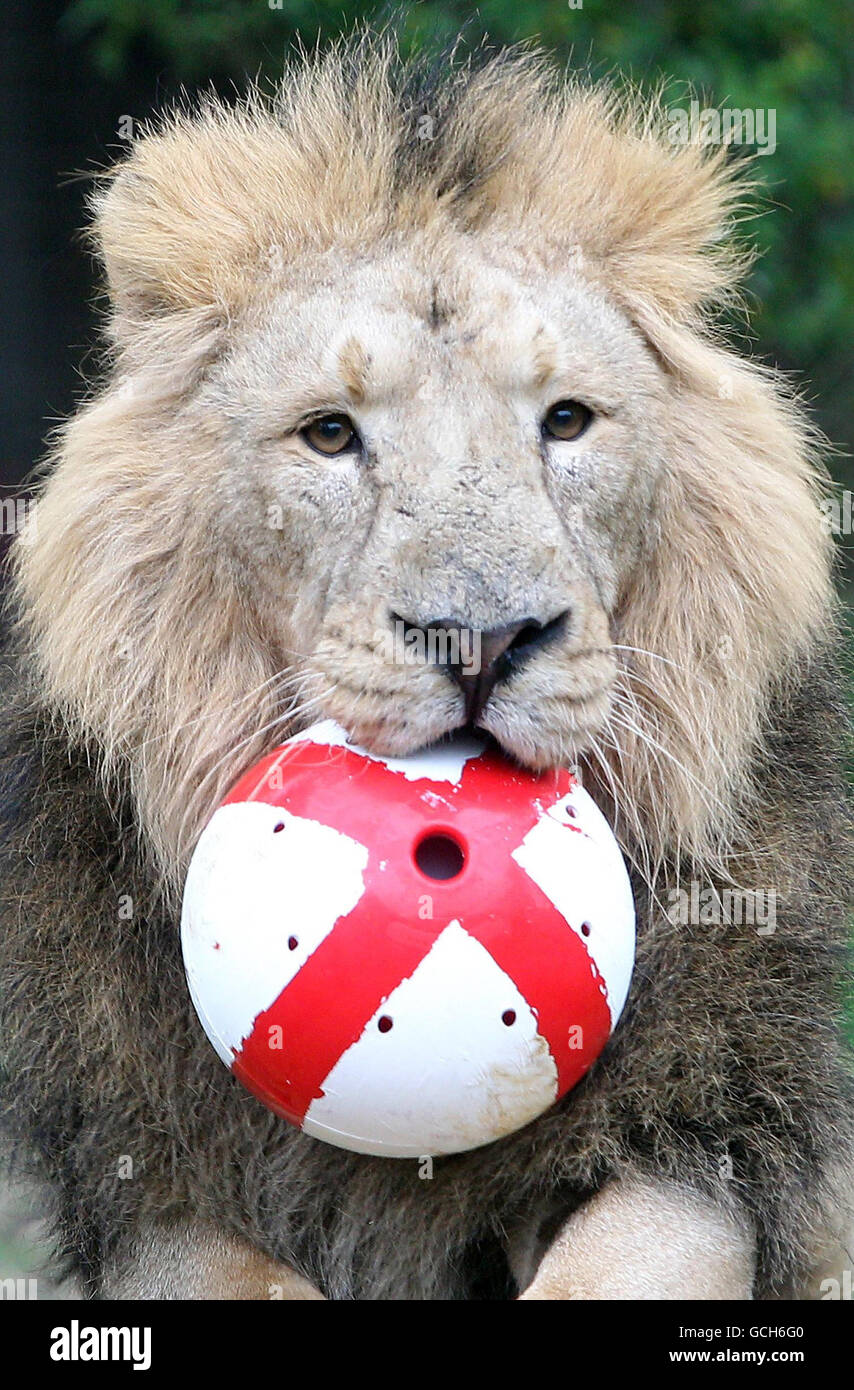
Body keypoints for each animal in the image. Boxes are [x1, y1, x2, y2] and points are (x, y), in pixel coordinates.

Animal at [1, 37, 852, 1300]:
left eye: (566, 421)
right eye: (328, 433)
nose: (482, 643)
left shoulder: (708, 1133)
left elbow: (618, 1262)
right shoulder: (152, 1189)